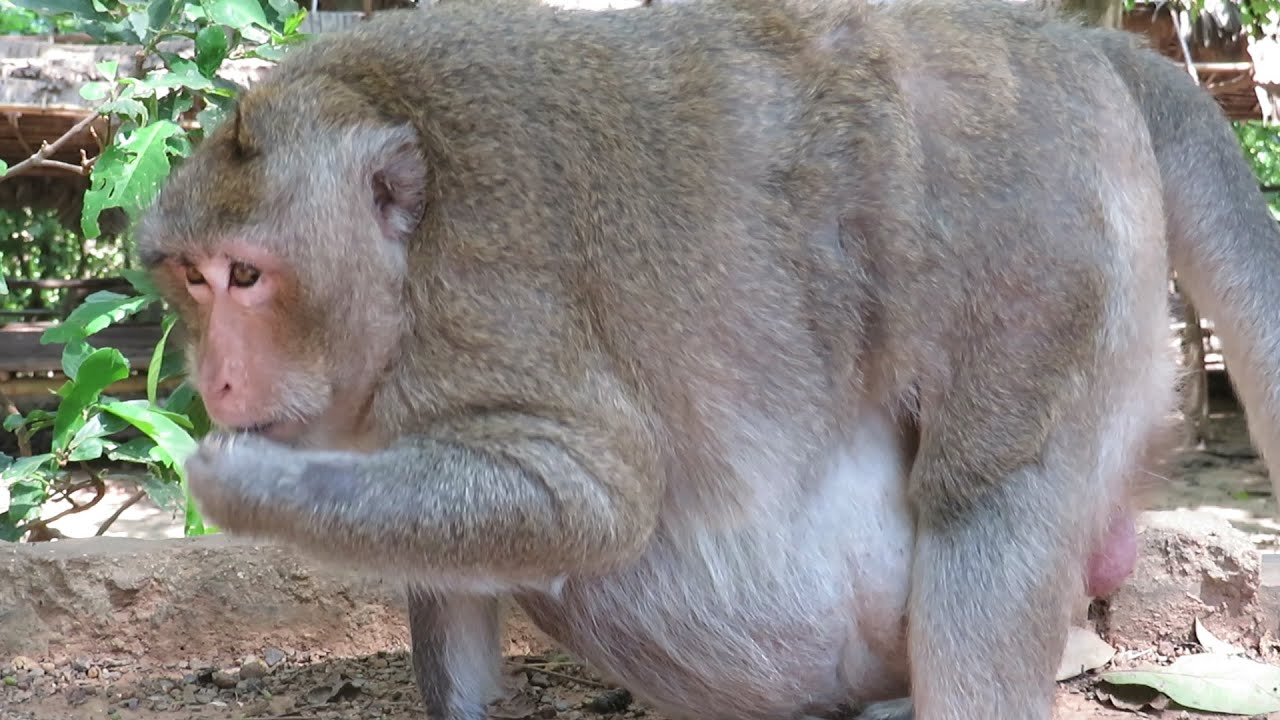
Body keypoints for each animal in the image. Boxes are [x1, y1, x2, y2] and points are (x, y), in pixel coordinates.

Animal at [131, 0, 1280, 718]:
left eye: (246, 276)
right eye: (190, 277)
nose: (212, 380)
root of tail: (1065, 43)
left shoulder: (484, 310)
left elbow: (591, 499)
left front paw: (239, 482)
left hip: (1045, 251)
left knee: (984, 497)